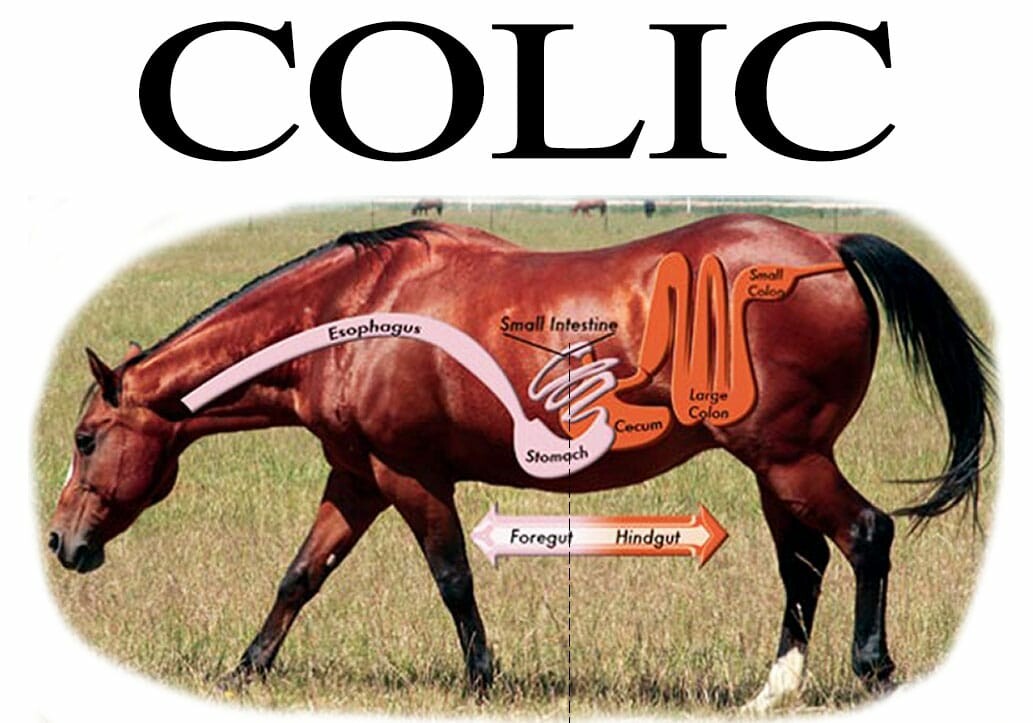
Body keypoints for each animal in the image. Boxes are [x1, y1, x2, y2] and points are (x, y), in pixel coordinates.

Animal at [46, 215, 992, 711]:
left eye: (85, 438)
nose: (63, 543)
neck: (357, 312)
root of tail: (827, 246)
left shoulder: (409, 476)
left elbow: (452, 576)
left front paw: (479, 680)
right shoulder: (355, 476)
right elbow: (300, 575)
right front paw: (245, 669)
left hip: (790, 458)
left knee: (864, 534)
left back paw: (870, 666)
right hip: (774, 467)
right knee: (801, 565)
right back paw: (774, 689)